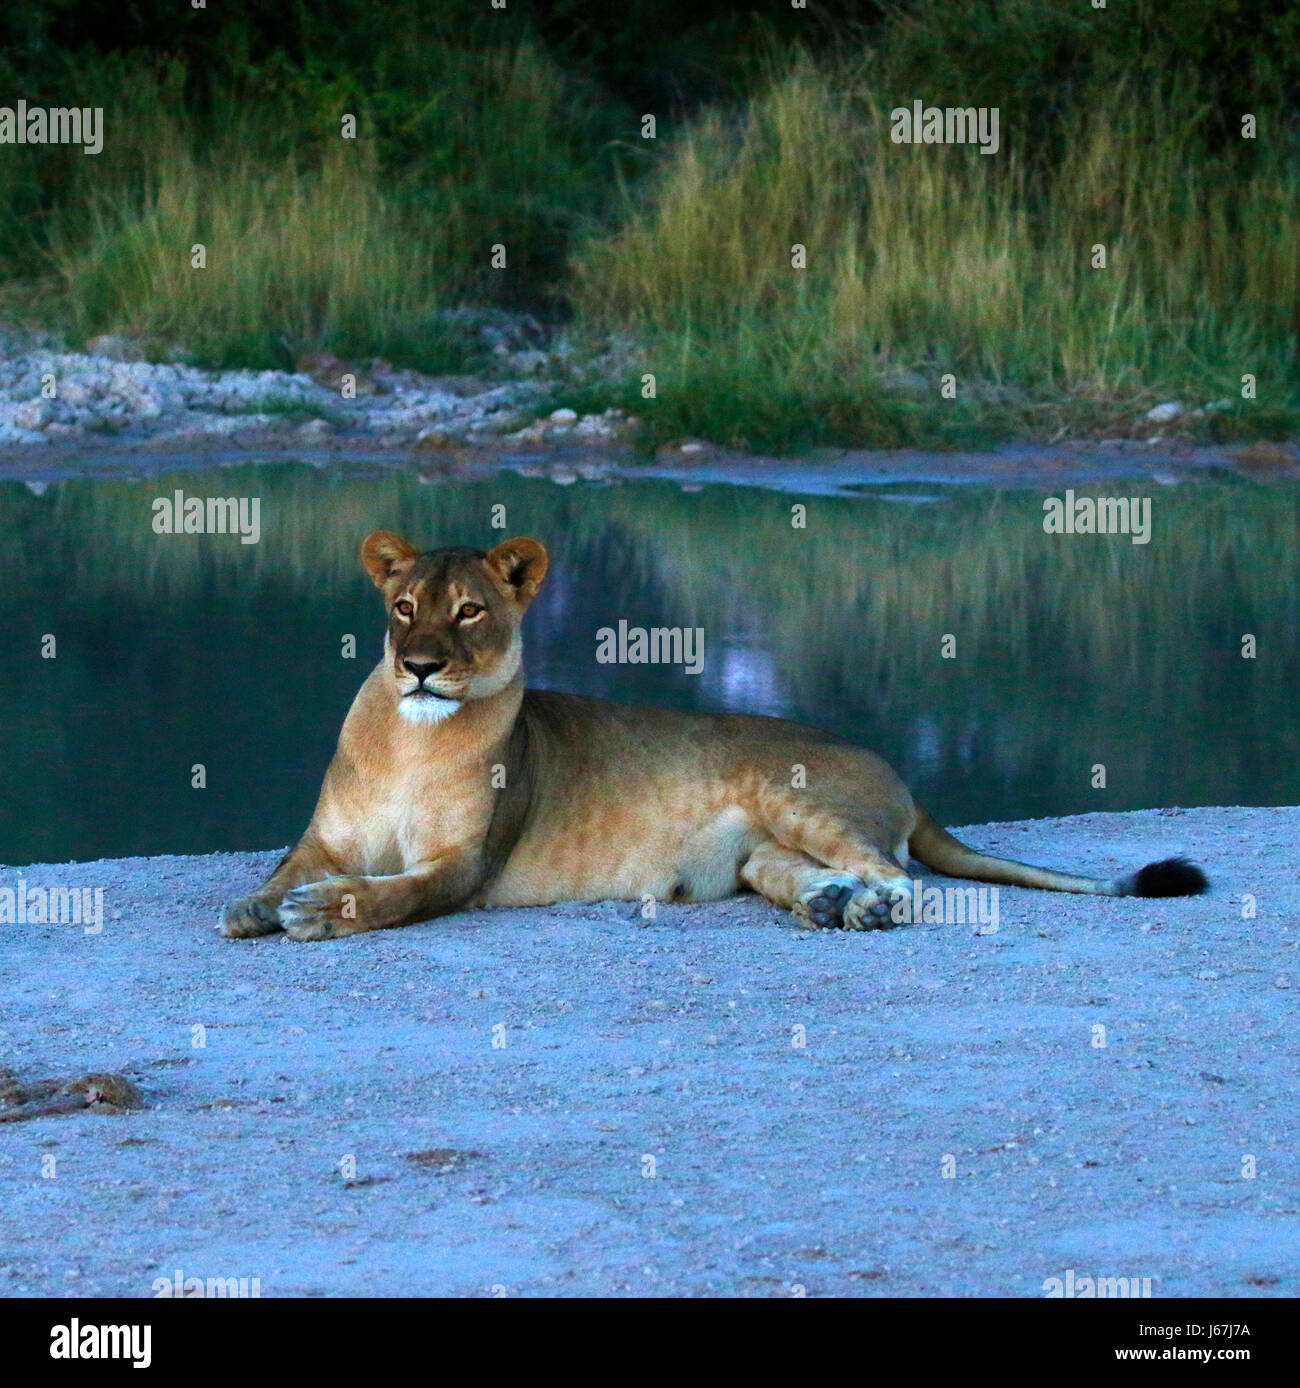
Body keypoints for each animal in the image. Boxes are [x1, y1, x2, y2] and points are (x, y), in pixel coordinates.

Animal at [219, 532, 1207, 942]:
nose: (420, 666)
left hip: (793, 792)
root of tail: (900, 773)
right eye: (402, 607)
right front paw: (257, 907)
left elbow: (389, 894)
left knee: (904, 878)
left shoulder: (467, 864)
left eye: (469, 611)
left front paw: (319, 911)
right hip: (760, 851)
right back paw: (833, 905)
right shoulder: (324, 836)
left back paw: (870, 907)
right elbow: (281, 869)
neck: (412, 739)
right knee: (809, 875)